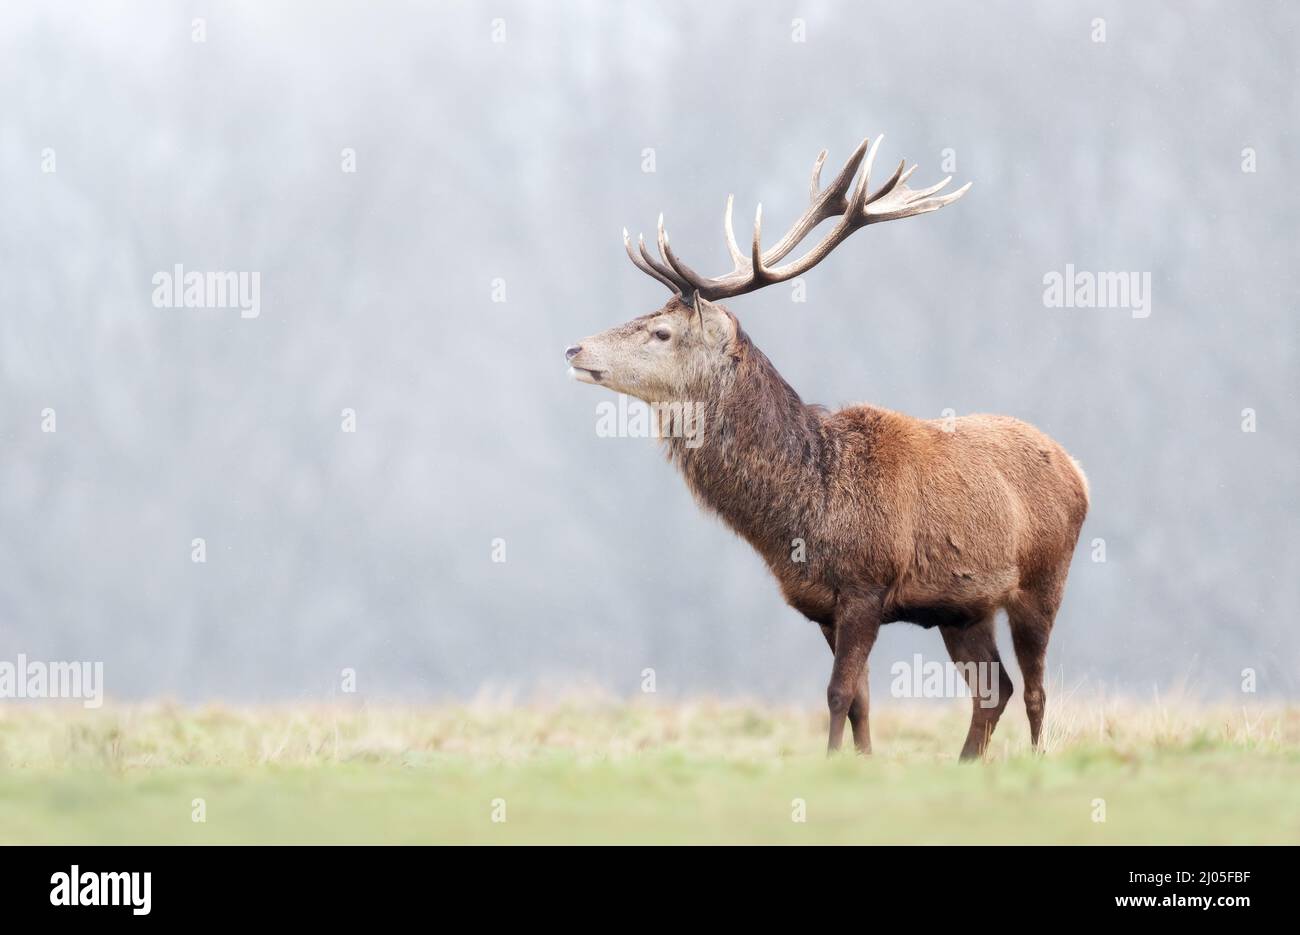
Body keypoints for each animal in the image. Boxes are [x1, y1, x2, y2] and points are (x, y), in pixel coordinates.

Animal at [564, 135, 1089, 760]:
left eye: (661, 333)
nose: (573, 349)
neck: (804, 510)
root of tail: (1078, 470)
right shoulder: (820, 604)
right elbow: (860, 699)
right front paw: (856, 762)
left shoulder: (866, 585)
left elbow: (838, 693)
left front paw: (833, 762)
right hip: (962, 609)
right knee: (995, 690)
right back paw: (966, 765)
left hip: (1043, 578)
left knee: (1034, 689)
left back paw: (1036, 760)